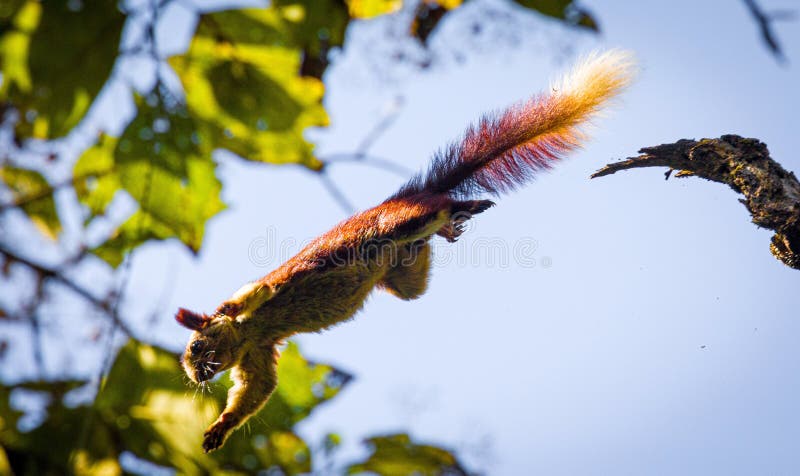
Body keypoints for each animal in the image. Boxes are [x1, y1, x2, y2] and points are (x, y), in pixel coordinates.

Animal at [176, 50, 636, 452]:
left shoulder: (255, 311)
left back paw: (460, 207)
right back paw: (450, 225)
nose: (196, 377)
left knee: (428, 211)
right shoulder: (256, 357)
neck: (249, 335)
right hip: (403, 271)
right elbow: (256, 391)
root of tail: (406, 198)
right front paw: (220, 427)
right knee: (416, 271)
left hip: (392, 225)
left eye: (196, 347)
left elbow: (252, 294)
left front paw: (231, 310)